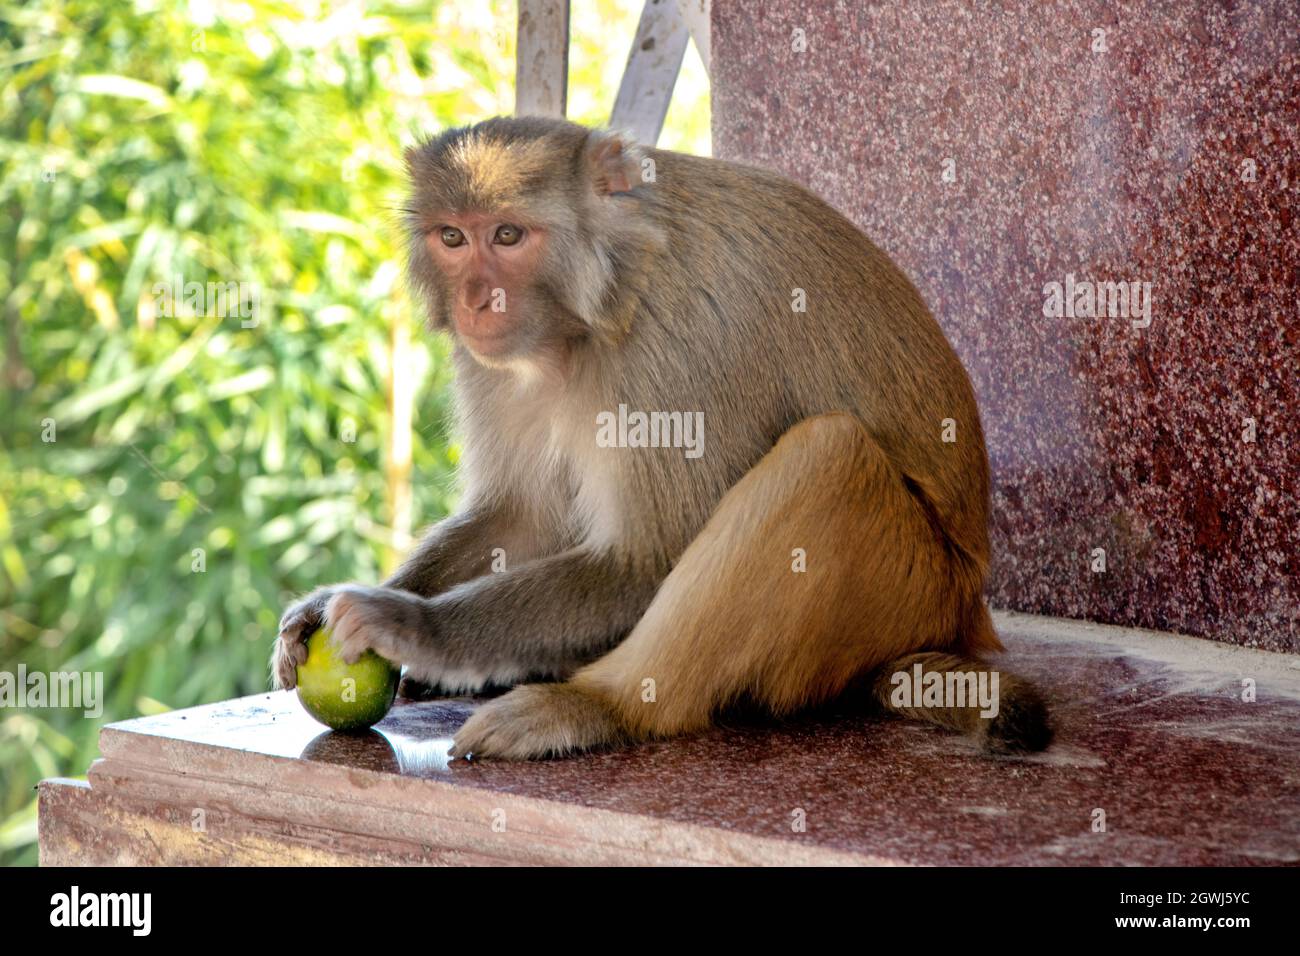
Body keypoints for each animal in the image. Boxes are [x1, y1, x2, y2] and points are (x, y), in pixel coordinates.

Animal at [271, 116, 1052, 760]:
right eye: (453, 238)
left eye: (509, 236)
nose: (475, 301)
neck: (605, 299)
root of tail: (964, 614)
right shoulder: (490, 363)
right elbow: (525, 515)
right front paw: (324, 606)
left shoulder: (680, 351)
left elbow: (649, 560)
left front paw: (416, 625)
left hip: (910, 587)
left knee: (826, 456)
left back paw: (599, 706)